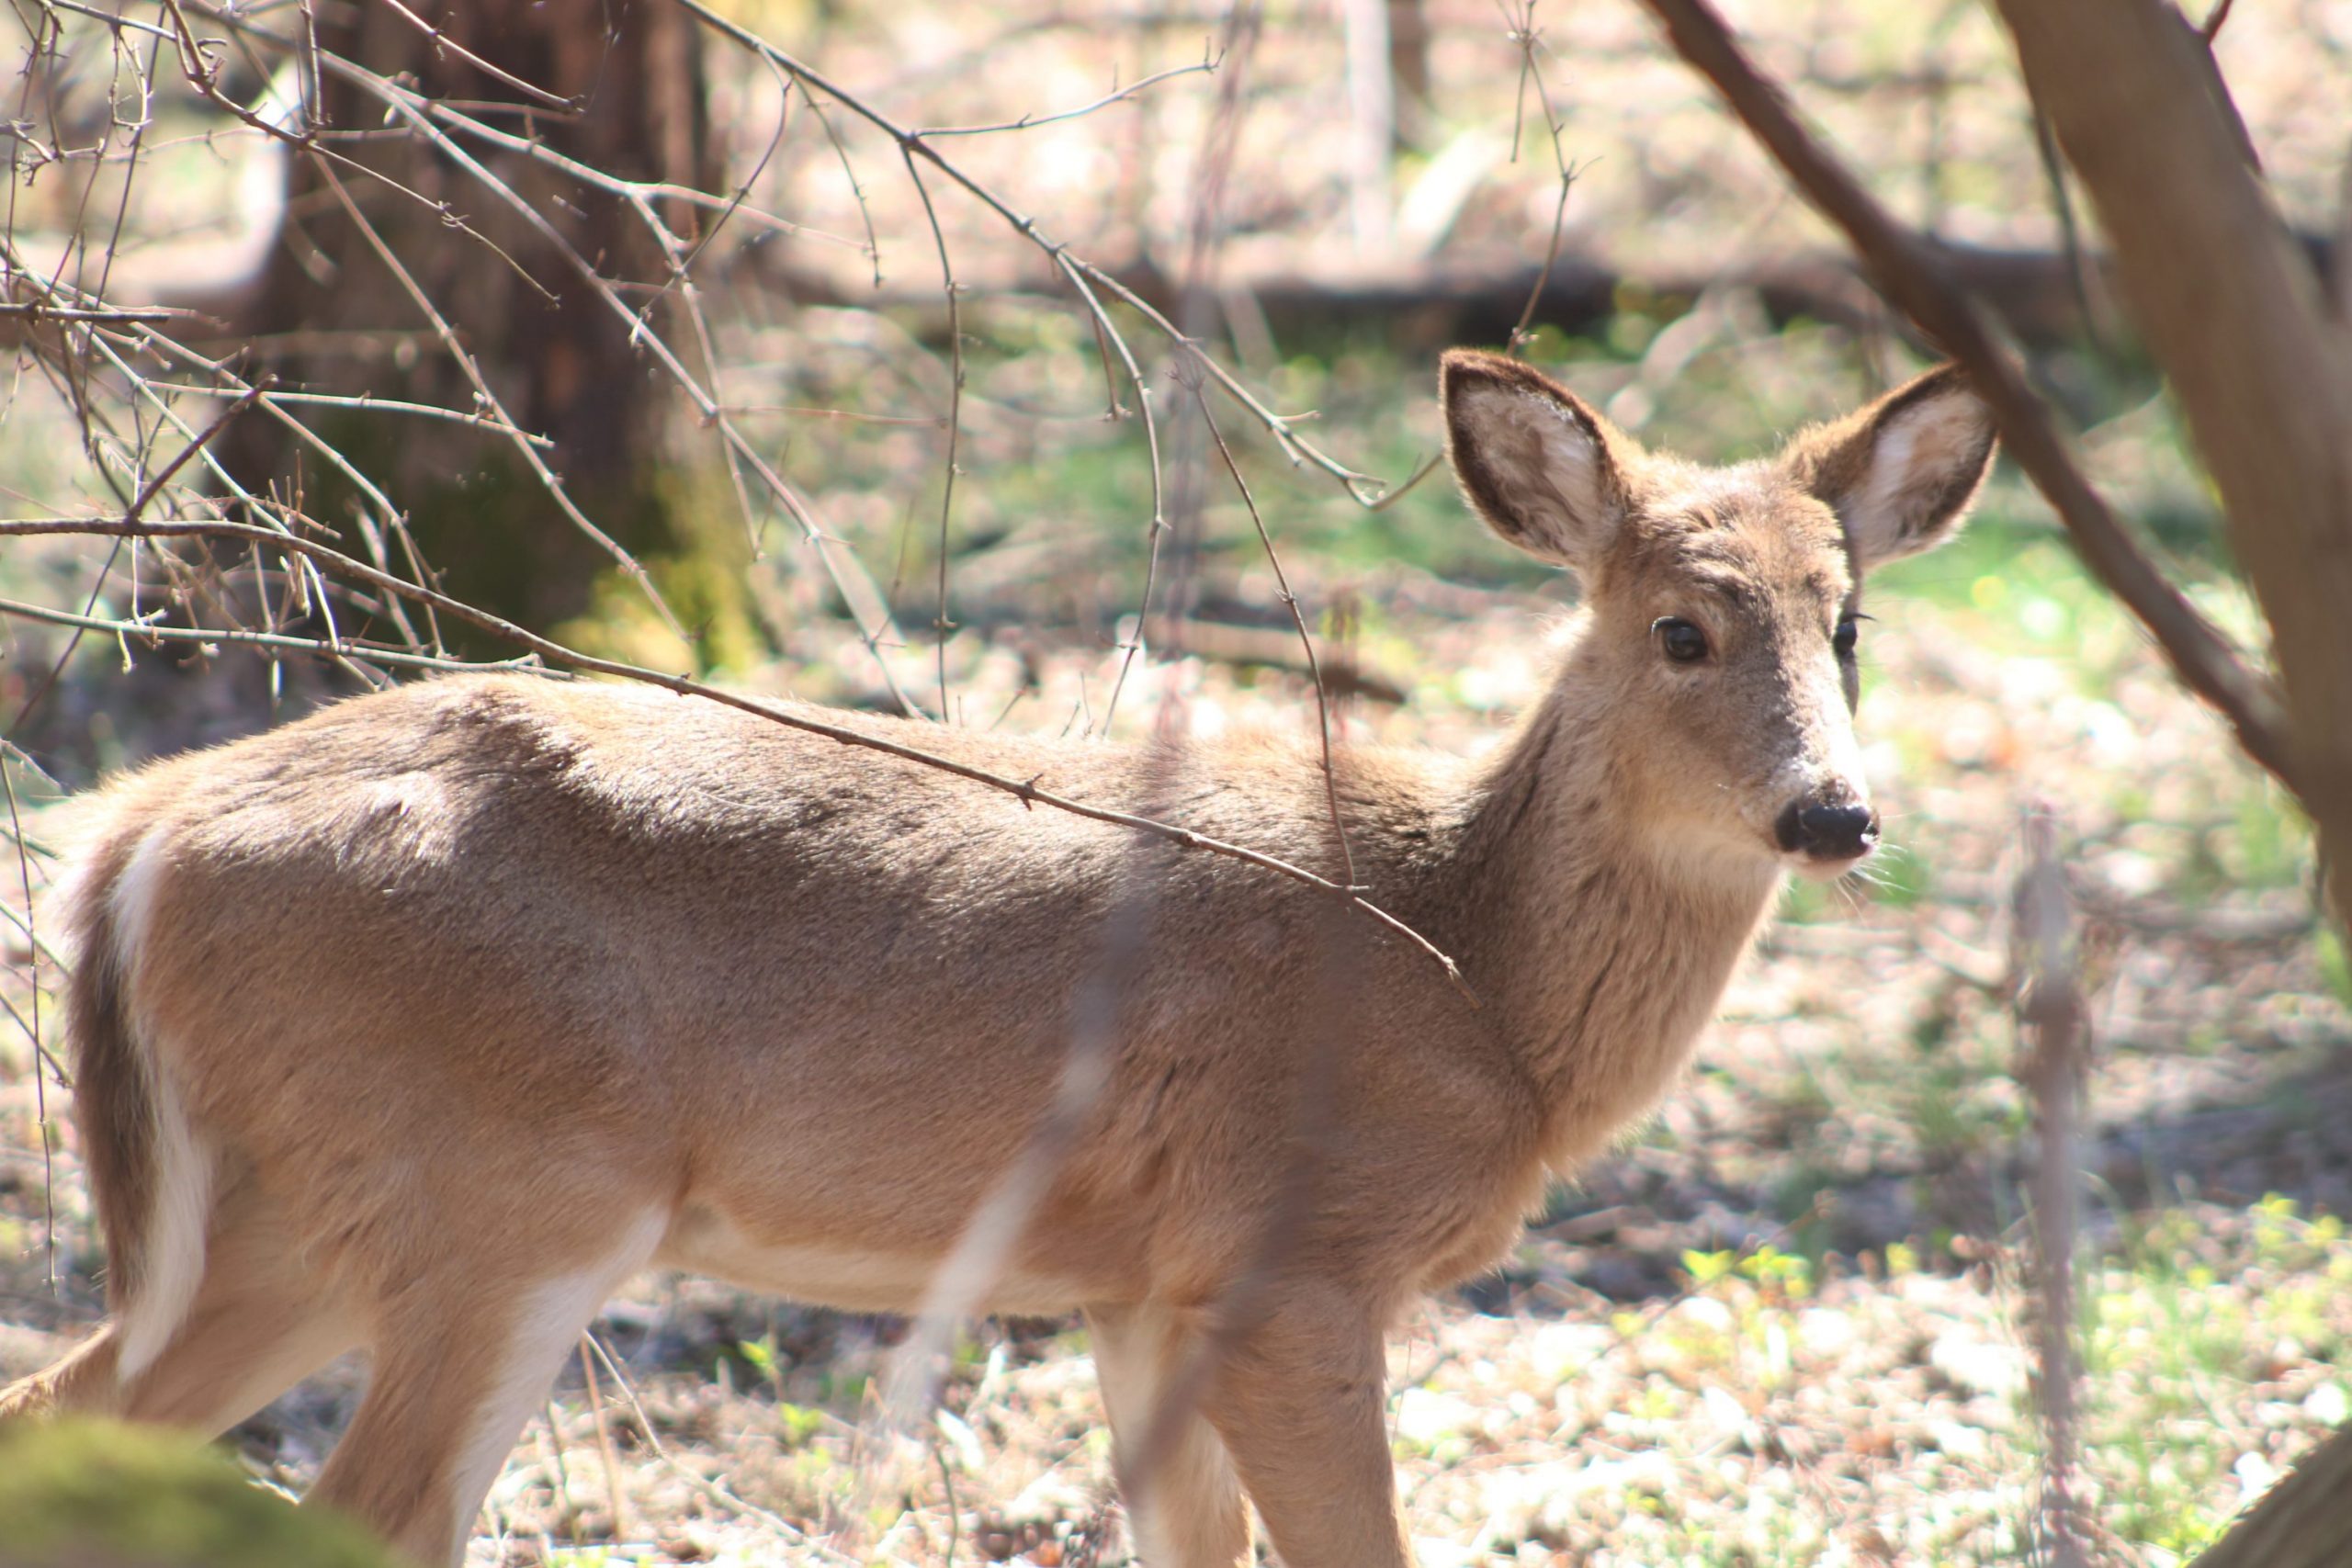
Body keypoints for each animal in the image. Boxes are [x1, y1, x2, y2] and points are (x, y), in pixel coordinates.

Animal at [0, 349, 1995, 1566]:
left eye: (1846, 621)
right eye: (1678, 628)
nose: (1833, 813)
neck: (1466, 968)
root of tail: (132, 838)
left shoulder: (1139, 1283)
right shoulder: (1290, 1255)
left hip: (294, 1214)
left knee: (65, 1418)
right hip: (506, 1190)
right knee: (365, 1505)